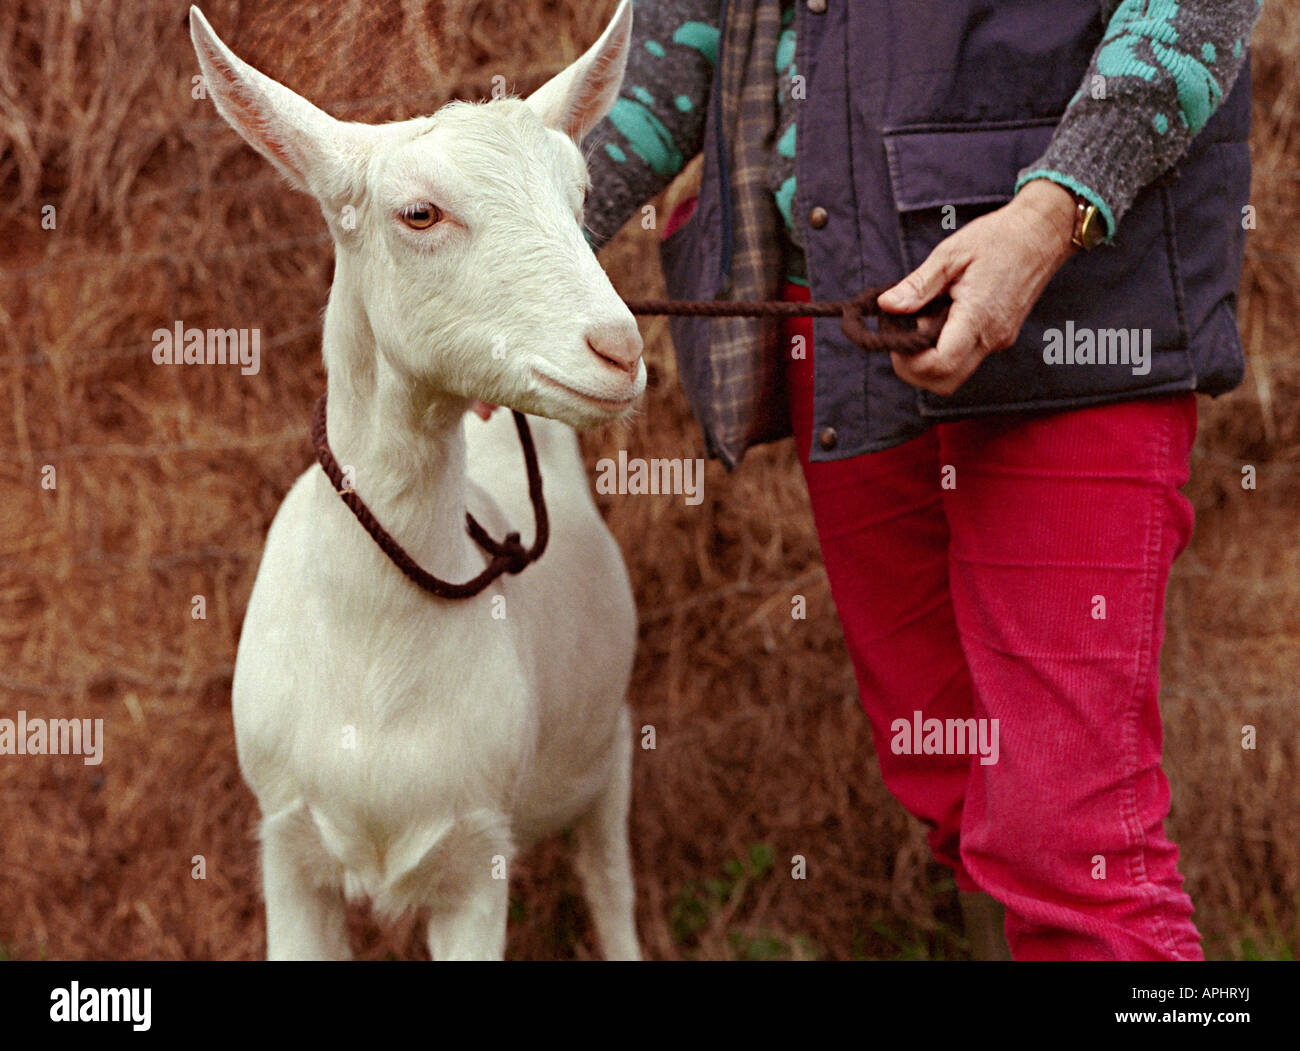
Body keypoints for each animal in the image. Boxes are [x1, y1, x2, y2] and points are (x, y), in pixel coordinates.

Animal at [189, 2, 643, 960]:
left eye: (581, 197)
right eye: (420, 213)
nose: (618, 349)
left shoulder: (476, 858)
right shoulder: (288, 847)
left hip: (611, 748)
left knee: (610, 884)